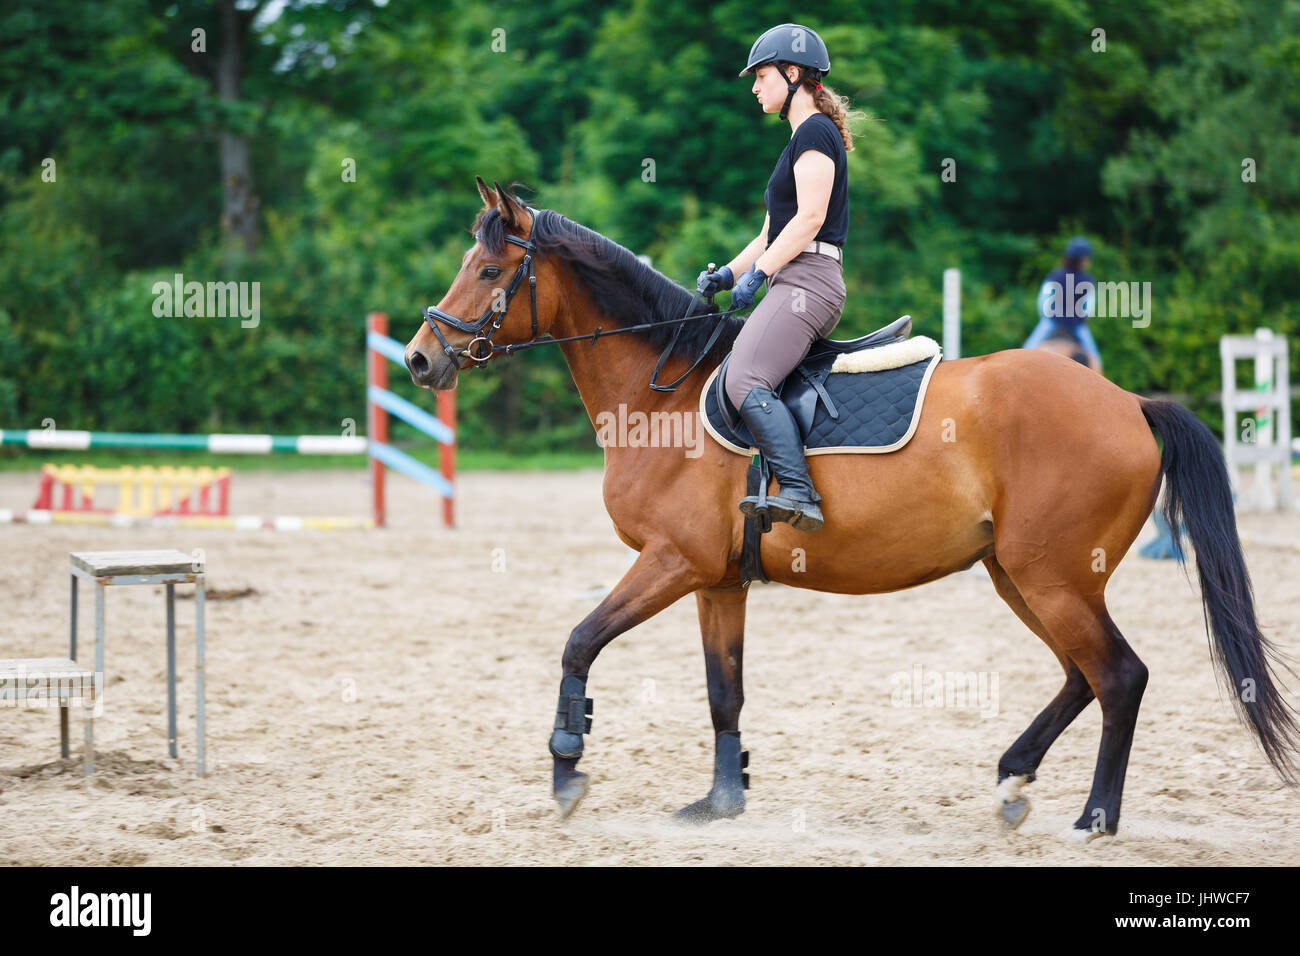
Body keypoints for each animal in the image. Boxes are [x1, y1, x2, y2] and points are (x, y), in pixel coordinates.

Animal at [404, 178, 1300, 840]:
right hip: (1022, 575)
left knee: (1118, 675)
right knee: (1084, 675)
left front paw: (566, 766)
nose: (419, 358)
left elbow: (579, 643)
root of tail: (1131, 404)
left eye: (490, 274)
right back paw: (1015, 780)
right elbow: (723, 692)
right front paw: (722, 801)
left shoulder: (669, 562)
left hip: (1053, 579)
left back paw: (1095, 817)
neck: (666, 392)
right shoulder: (716, 581)